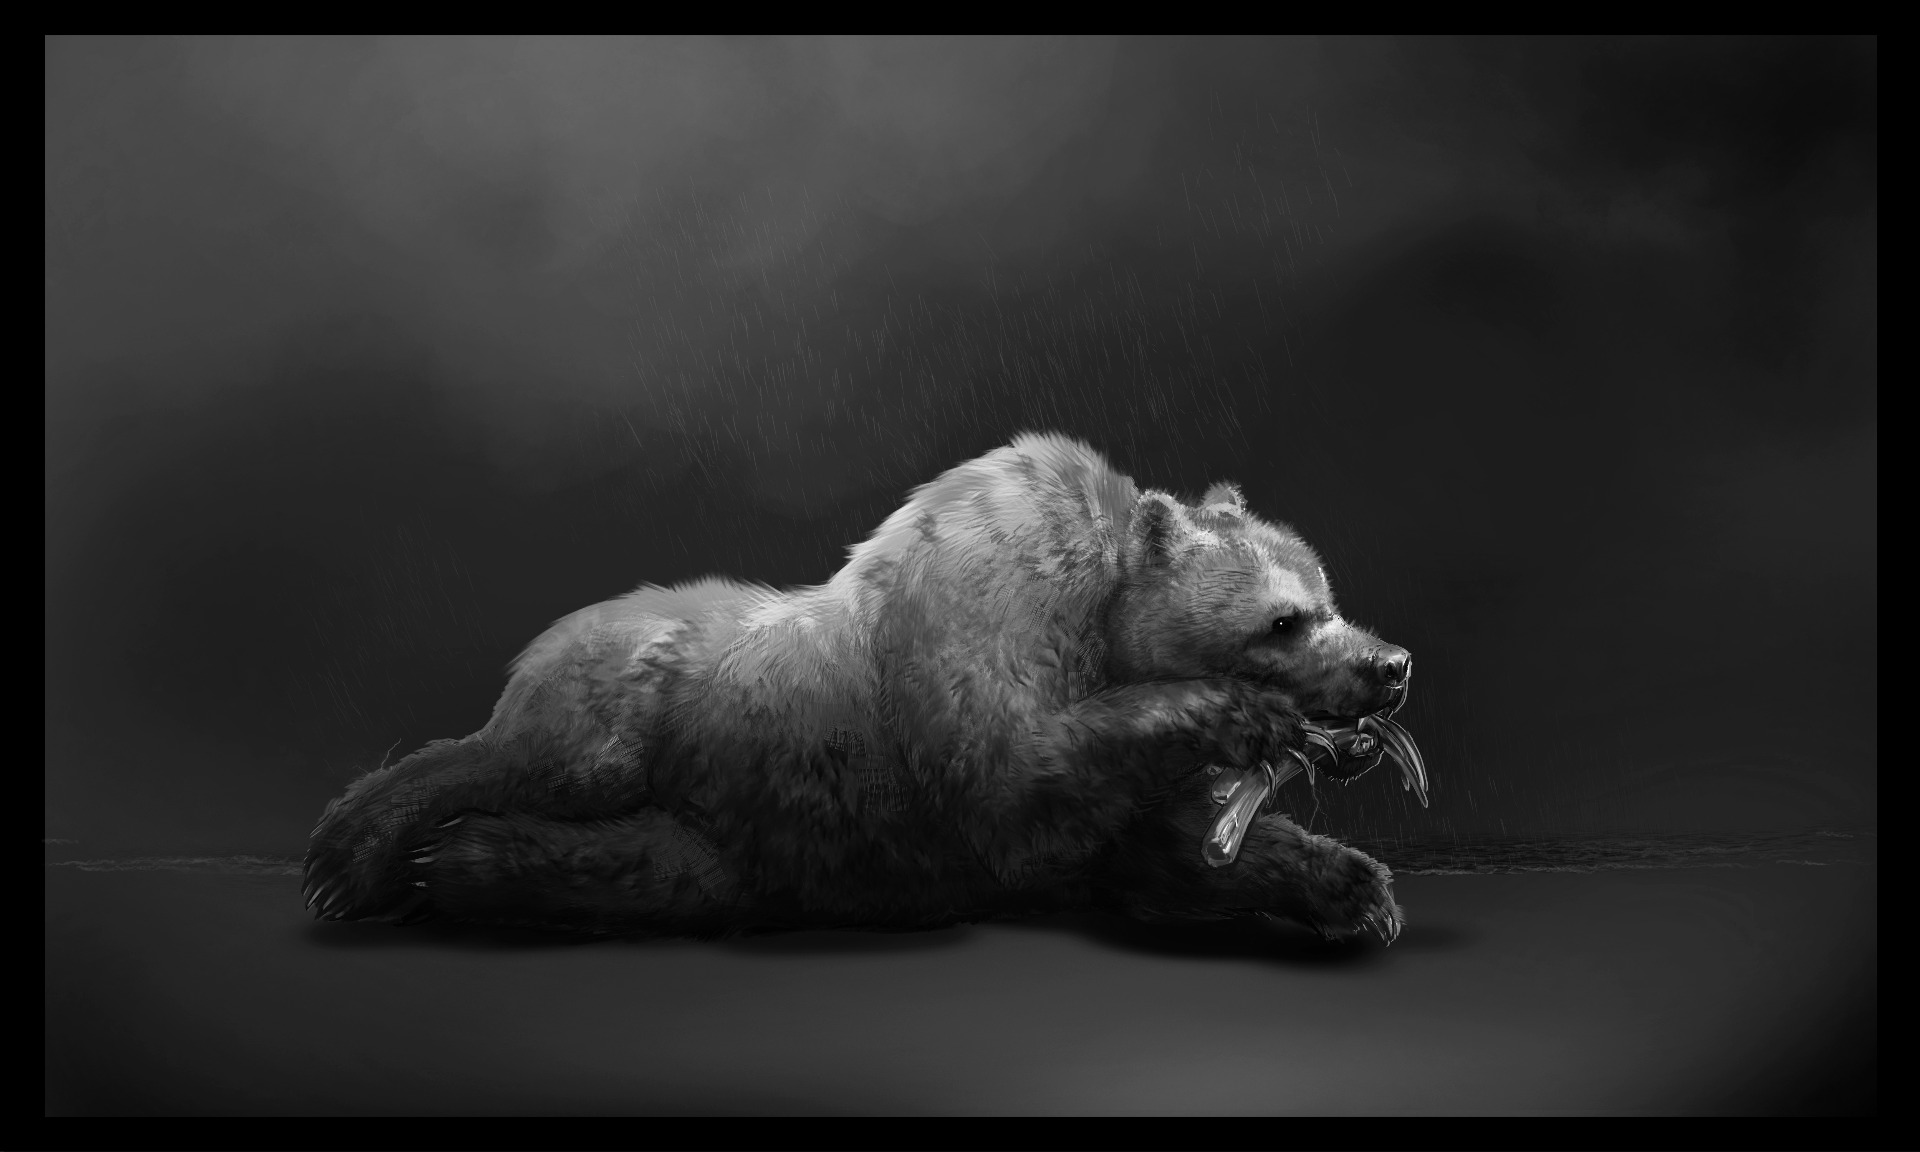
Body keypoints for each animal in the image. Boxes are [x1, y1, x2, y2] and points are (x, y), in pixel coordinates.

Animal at [303, 432, 1426, 942]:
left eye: (1330, 594)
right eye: (1284, 619)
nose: (1392, 667)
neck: (1100, 625)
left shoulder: (1108, 819)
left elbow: (1170, 852)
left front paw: (1355, 886)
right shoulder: (973, 648)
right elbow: (1016, 768)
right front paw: (1244, 719)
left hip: (727, 831)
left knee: (650, 867)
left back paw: (464, 864)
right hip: (629, 706)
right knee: (521, 761)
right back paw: (373, 854)